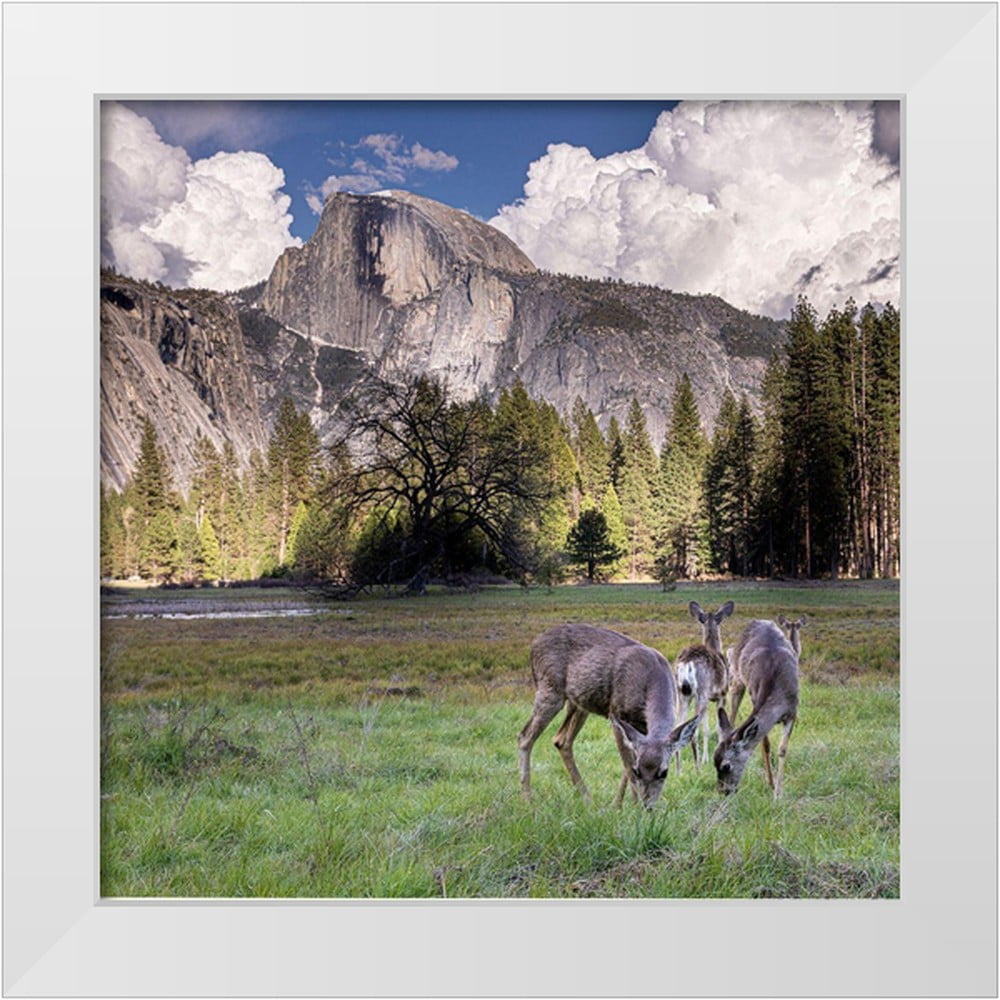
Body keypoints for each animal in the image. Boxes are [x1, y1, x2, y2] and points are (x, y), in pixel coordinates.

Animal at [518, 624, 699, 808]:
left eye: (664, 772)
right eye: (638, 771)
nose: (647, 807)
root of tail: (533, 645)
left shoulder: (639, 730)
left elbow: (627, 765)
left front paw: (620, 805)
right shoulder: (617, 714)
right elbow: (627, 765)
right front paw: (626, 807)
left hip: (579, 703)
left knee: (561, 740)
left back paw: (588, 800)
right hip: (550, 688)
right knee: (525, 736)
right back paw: (527, 801)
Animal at [674, 601, 734, 767]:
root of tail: (687, 662)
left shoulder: (708, 698)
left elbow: (706, 729)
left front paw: (706, 758)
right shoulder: (722, 695)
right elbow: (719, 728)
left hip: (682, 694)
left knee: (676, 728)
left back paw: (678, 767)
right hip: (700, 691)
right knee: (693, 732)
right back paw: (696, 766)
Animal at [714, 619, 799, 798]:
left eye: (726, 765)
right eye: (714, 761)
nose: (723, 791)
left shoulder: (793, 710)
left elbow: (782, 749)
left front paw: (778, 793)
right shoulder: (755, 696)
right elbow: (765, 744)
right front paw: (771, 784)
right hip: (737, 679)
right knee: (731, 716)